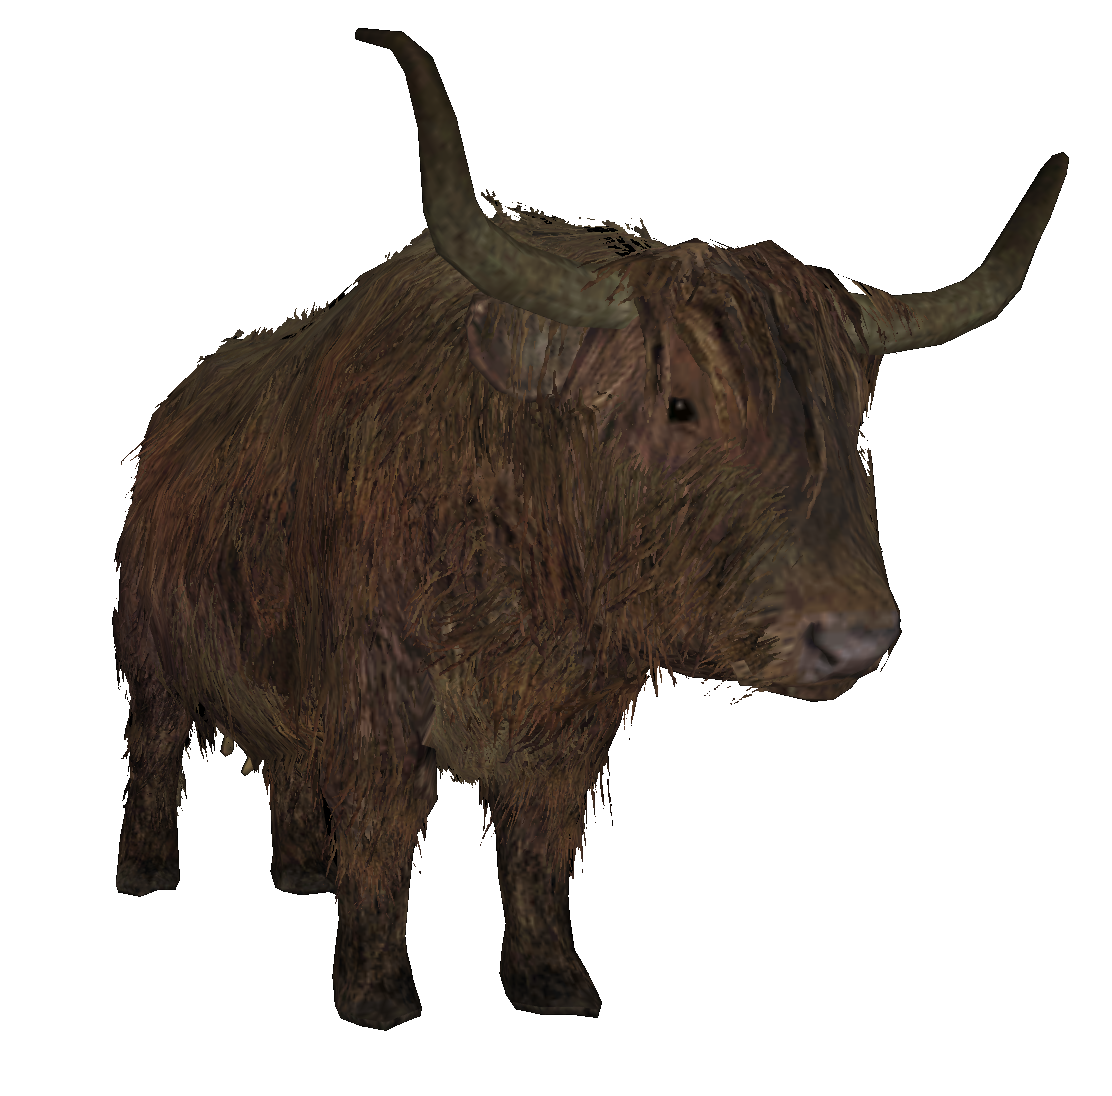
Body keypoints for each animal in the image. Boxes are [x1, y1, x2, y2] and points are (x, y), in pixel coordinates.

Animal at [113, 28, 1067, 1029]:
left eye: (852, 426)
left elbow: (539, 836)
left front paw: (552, 981)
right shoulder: (373, 688)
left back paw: (303, 871)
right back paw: (147, 871)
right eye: (679, 403)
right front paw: (377, 992)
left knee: (285, 754)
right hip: (151, 644)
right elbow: (382, 823)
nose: (854, 637)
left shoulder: (572, 720)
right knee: (156, 743)